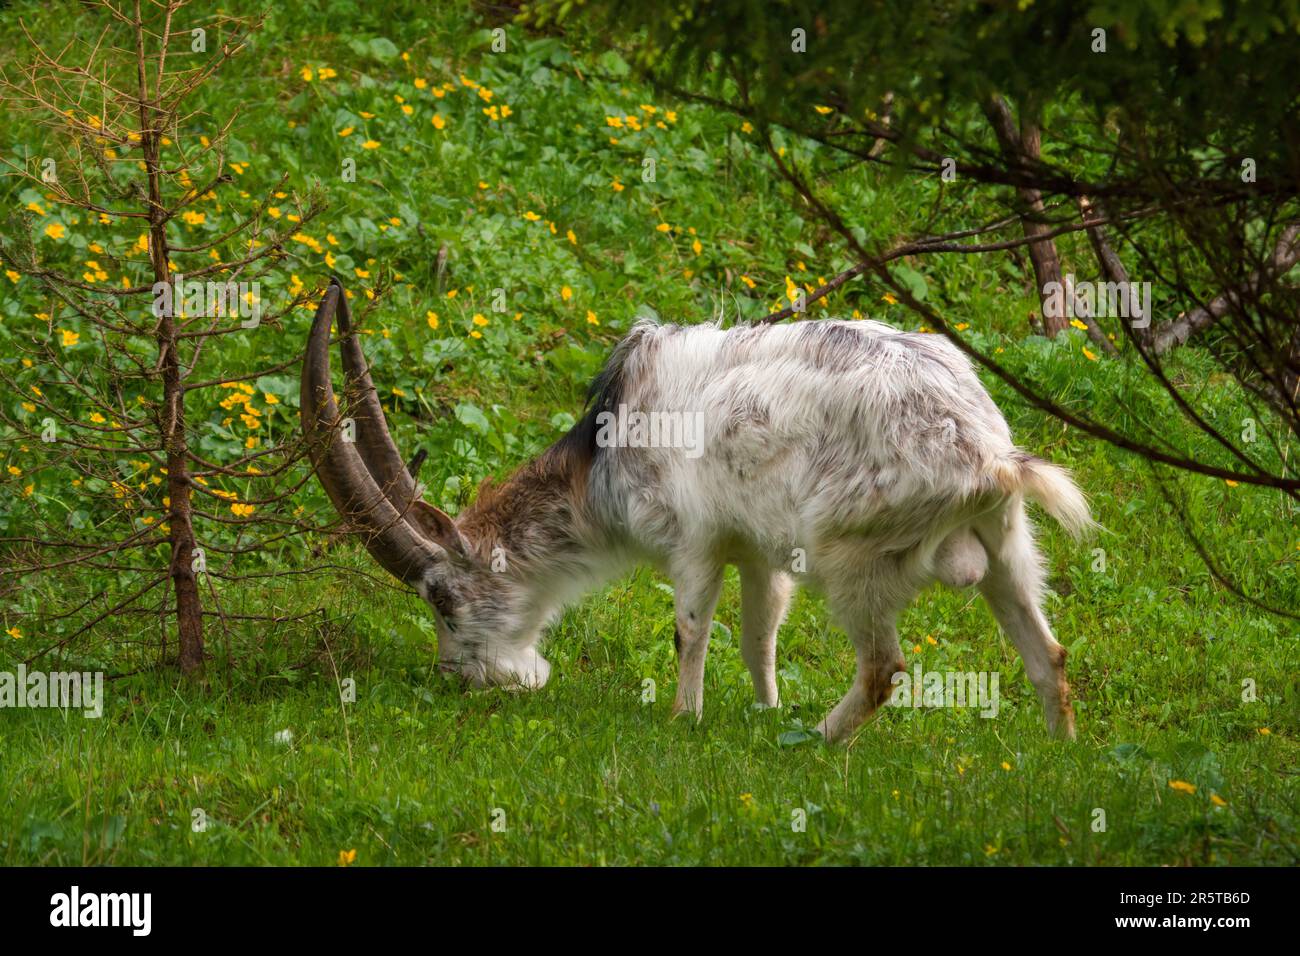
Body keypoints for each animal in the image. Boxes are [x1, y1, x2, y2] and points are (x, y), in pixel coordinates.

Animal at [301, 277, 1092, 742]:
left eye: (441, 598)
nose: (459, 679)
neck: (610, 449)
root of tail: (986, 452)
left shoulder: (694, 544)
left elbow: (690, 630)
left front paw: (685, 719)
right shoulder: (758, 552)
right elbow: (758, 635)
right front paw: (764, 708)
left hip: (852, 561)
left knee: (883, 668)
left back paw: (811, 743)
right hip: (1008, 545)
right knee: (1046, 652)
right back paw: (1060, 751)